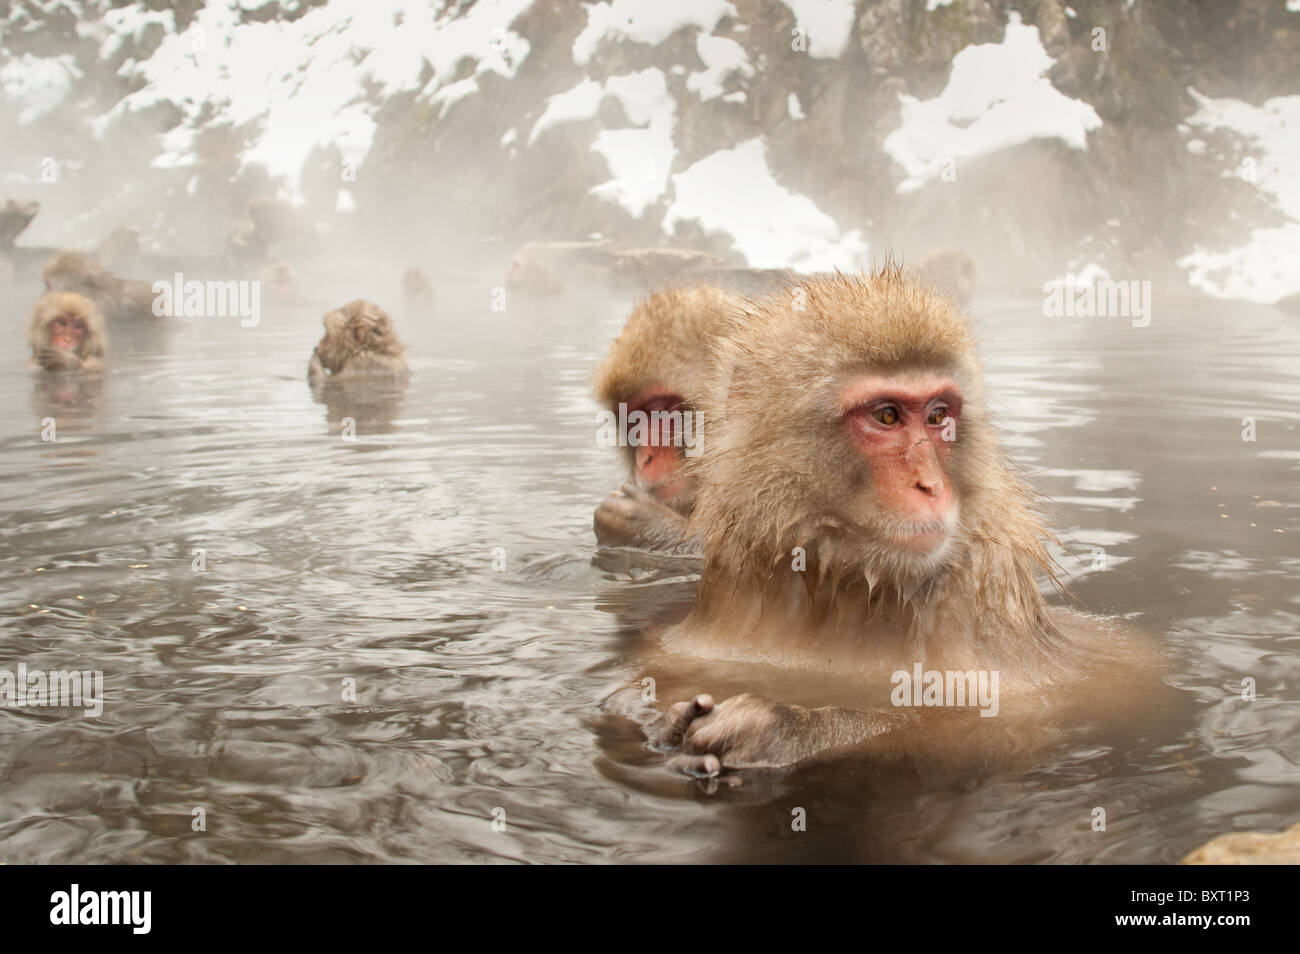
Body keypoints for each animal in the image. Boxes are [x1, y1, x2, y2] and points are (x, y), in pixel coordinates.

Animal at [637, 266, 1154, 775]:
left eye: (938, 416)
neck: (841, 582)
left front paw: (787, 728)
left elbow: (1000, 720)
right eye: (887, 415)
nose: (931, 485)